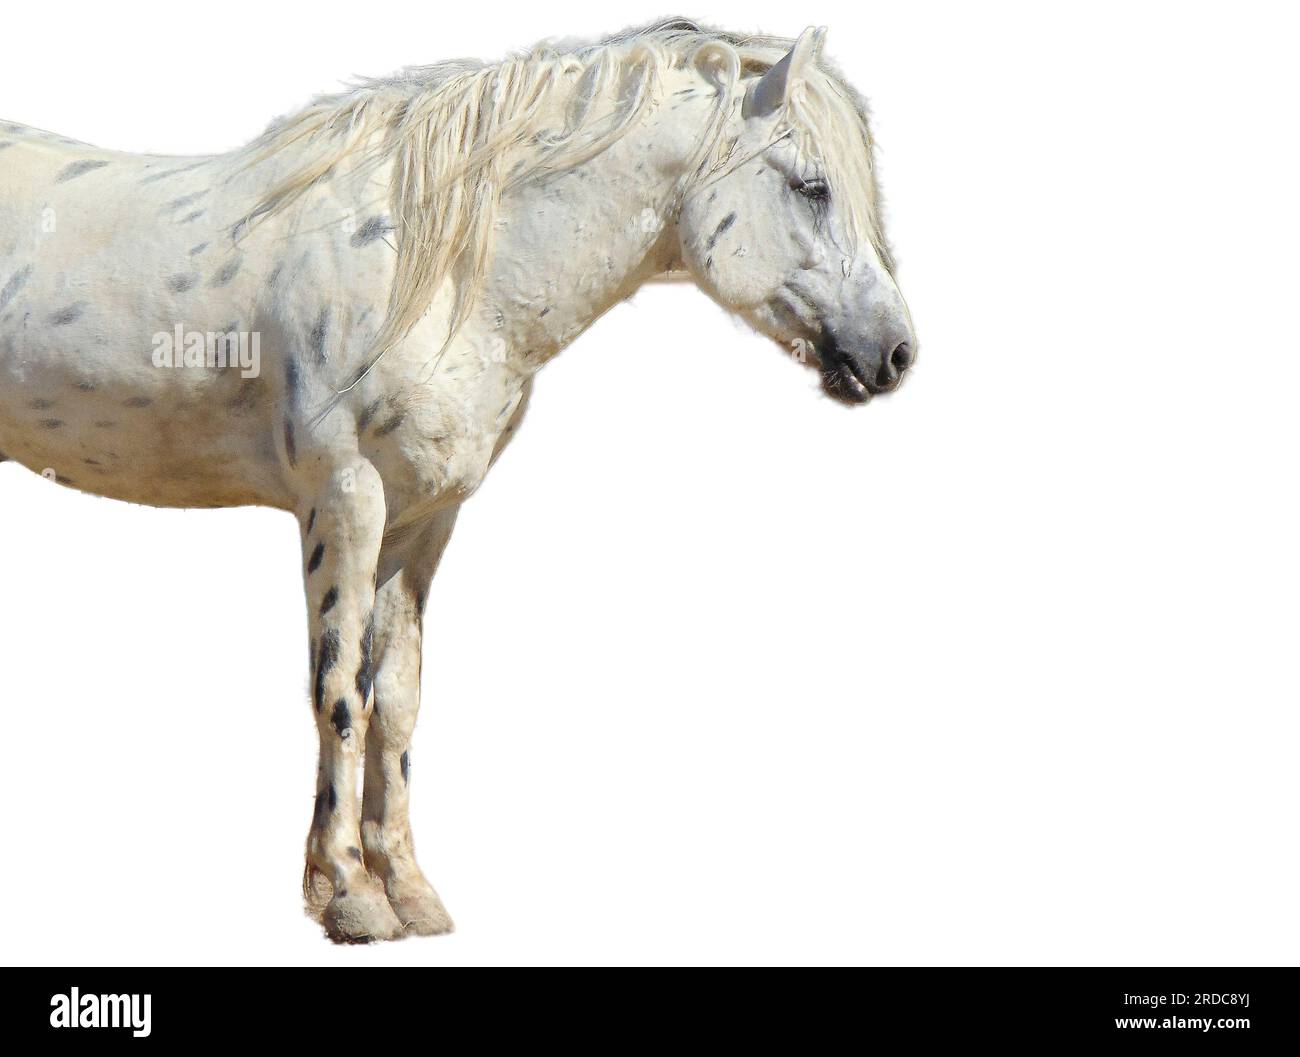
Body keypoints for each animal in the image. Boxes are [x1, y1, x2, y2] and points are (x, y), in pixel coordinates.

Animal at [0, 19, 915, 942]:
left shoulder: (423, 519)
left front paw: (408, 888)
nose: (894, 352)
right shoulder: (344, 496)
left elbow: (397, 698)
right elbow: (340, 692)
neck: (431, 271)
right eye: (811, 186)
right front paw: (349, 893)